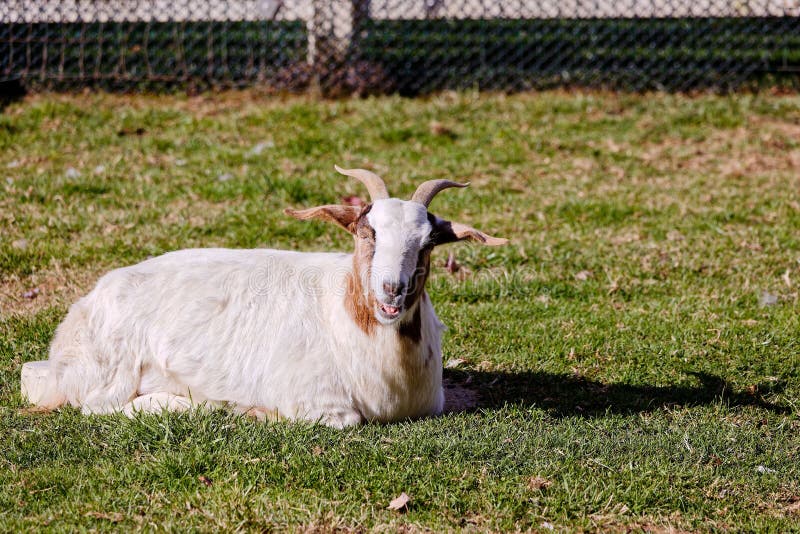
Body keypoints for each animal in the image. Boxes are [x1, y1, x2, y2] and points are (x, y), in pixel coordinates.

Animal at [24, 166, 507, 427]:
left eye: (429, 243)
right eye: (365, 232)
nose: (392, 289)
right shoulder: (317, 401)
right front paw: (254, 412)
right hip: (110, 374)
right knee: (99, 408)